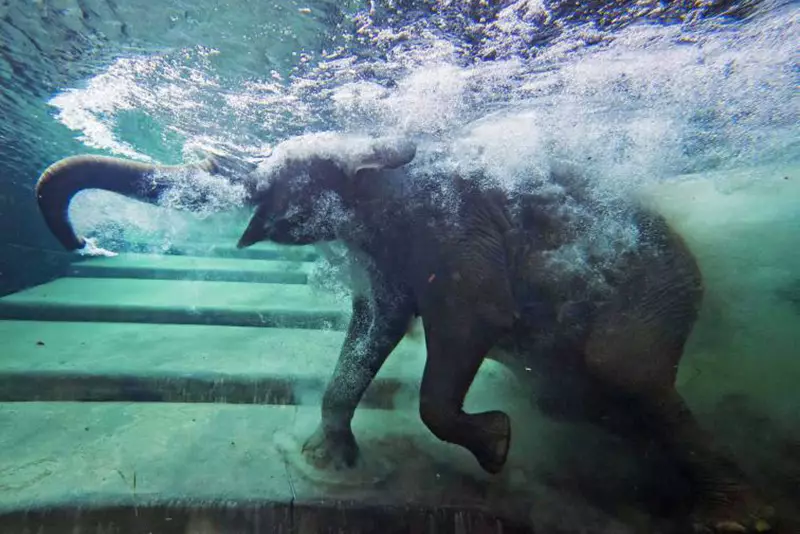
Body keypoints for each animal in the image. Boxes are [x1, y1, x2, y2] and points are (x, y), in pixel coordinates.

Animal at [37, 131, 776, 534]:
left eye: (275, 175)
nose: (84, 244)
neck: (385, 164)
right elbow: (375, 325)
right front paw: (328, 461)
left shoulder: (458, 235)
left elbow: (466, 326)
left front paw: (497, 447)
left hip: (654, 293)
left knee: (624, 372)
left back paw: (732, 515)